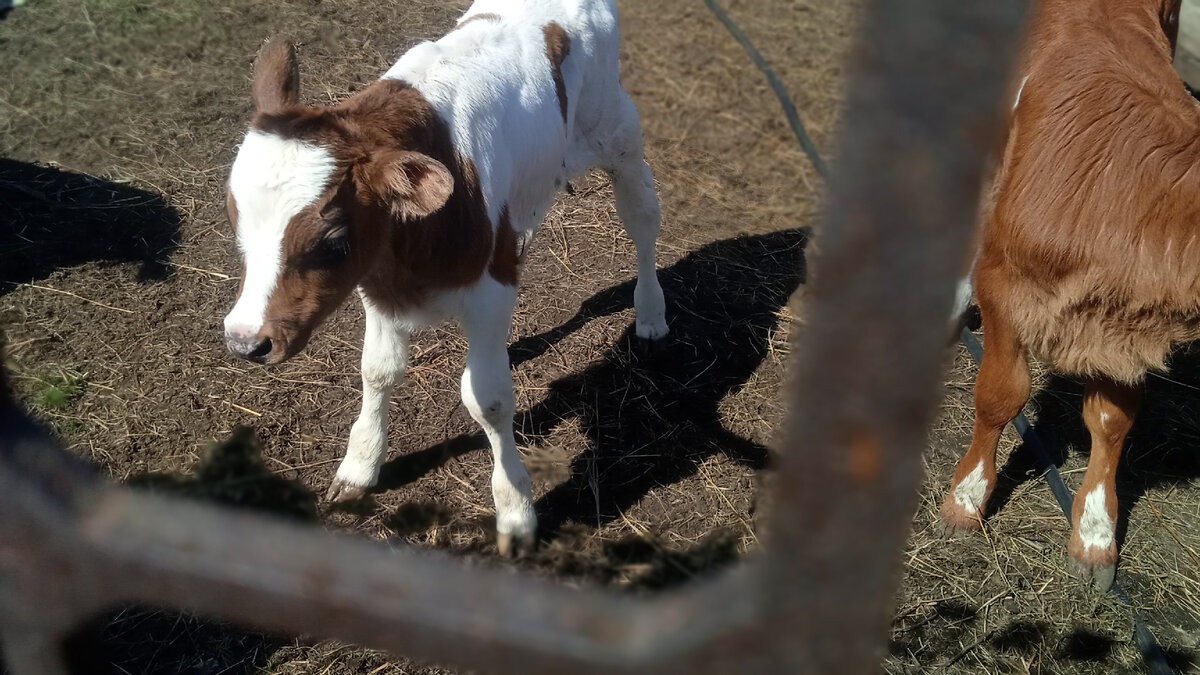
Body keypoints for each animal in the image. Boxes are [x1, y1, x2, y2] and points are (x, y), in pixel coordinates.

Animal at [222, 0, 672, 554]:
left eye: (333, 241)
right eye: (235, 218)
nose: (245, 342)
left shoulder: (489, 291)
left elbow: (489, 400)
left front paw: (516, 511)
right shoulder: (379, 285)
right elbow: (377, 370)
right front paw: (359, 467)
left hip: (618, 131)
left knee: (643, 220)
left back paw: (651, 314)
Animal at [940, 0, 1185, 586]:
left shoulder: (1127, 323)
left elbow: (1113, 420)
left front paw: (1095, 534)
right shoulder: (1005, 286)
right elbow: (1000, 395)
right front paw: (965, 501)